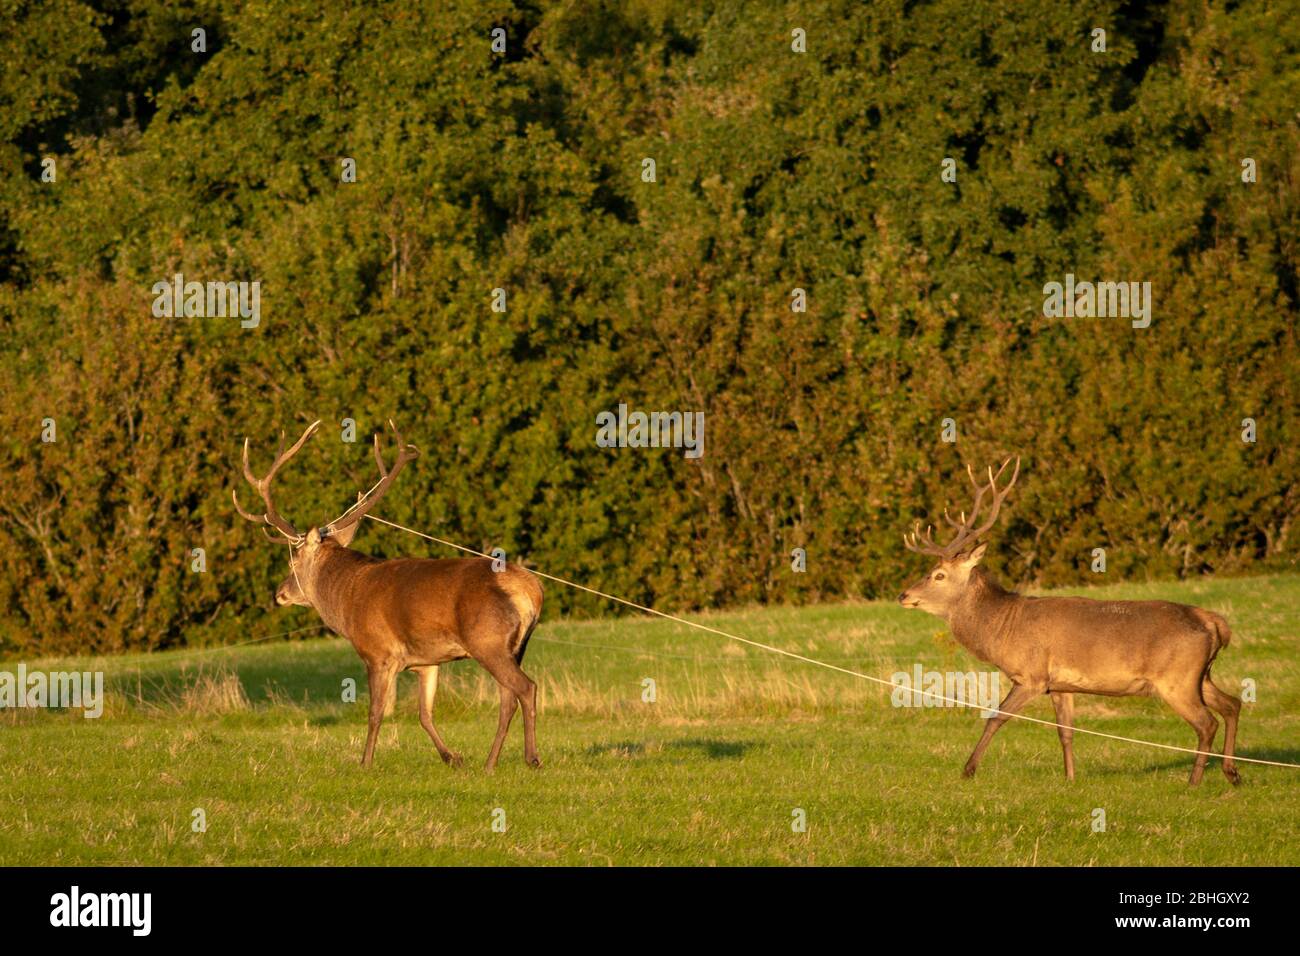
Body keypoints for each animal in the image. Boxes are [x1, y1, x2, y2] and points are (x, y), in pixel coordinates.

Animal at [233, 419, 544, 772]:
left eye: (292, 560)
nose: (280, 593)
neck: (346, 600)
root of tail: (532, 590)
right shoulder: (427, 660)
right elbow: (424, 714)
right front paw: (452, 757)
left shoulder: (377, 652)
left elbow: (375, 713)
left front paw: (364, 762)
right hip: (514, 647)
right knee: (507, 698)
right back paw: (490, 763)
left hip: (488, 641)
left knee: (525, 688)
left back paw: (532, 757)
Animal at [897, 458, 1242, 786]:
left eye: (939, 575)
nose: (903, 595)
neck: (1002, 628)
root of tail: (1215, 623)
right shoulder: (1060, 685)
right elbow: (1066, 732)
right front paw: (1070, 778)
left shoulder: (1032, 676)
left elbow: (995, 717)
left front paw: (968, 770)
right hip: (1200, 676)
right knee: (1233, 704)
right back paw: (1232, 773)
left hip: (1176, 679)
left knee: (1207, 722)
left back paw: (1195, 781)